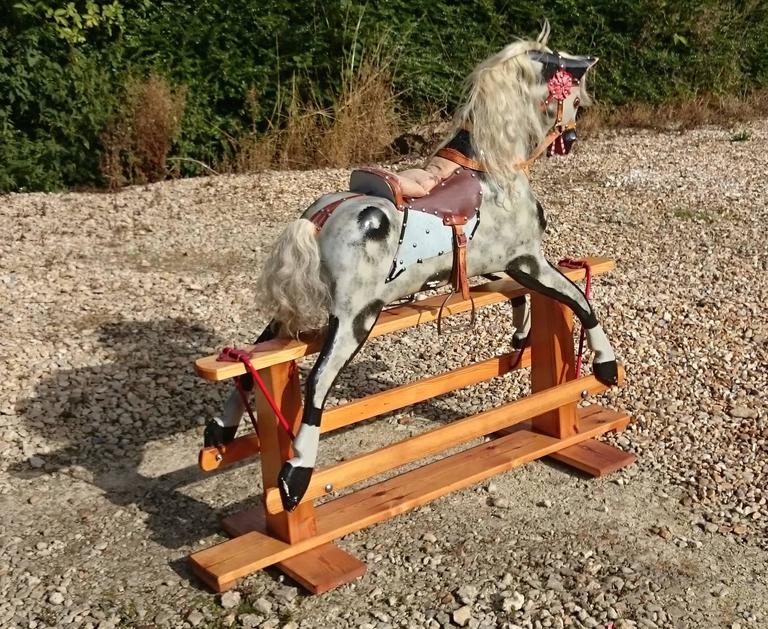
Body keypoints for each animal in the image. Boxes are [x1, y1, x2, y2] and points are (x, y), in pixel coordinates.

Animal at [205, 24, 617, 512]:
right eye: (573, 97)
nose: (569, 141)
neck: (493, 169)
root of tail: (319, 219)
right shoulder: (529, 259)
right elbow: (581, 301)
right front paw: (607, 367)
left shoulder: (502, 265)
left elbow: (519, 298)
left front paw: (519, 342)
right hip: (354, 317)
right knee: (317, 384)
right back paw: (294, 478)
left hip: (293, 313)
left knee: (253, 354)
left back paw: (219, 432)